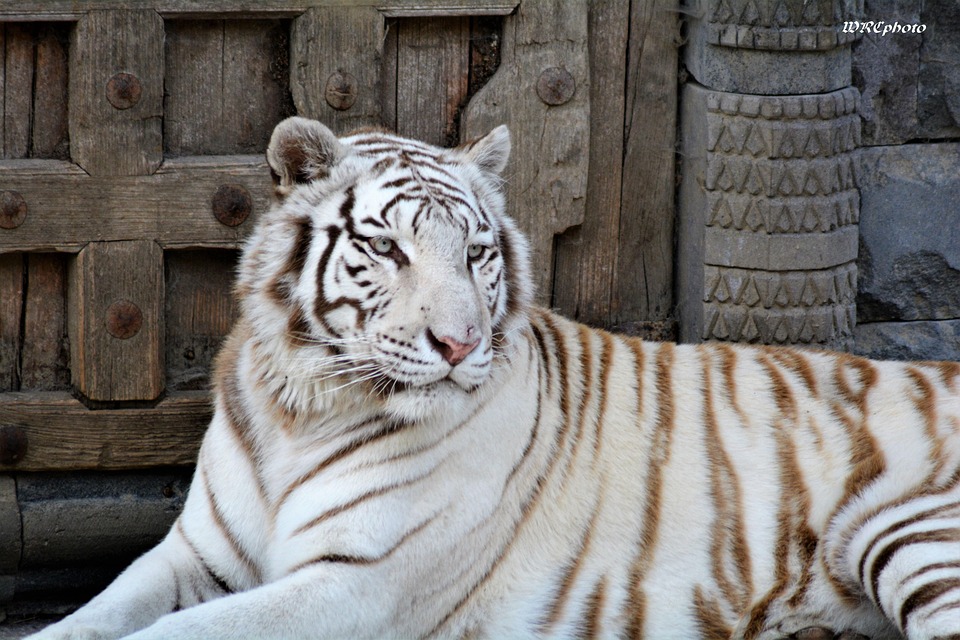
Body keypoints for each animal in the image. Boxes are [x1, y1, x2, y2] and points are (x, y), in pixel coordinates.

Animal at [29, 116, 960, 640]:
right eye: (387, 247)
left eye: (476, 252)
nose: (458, 343)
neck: (301, 404)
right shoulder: (199, 553)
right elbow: (98, 615)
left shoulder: (355, 583)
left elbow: (175, 635)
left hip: (908, 534)